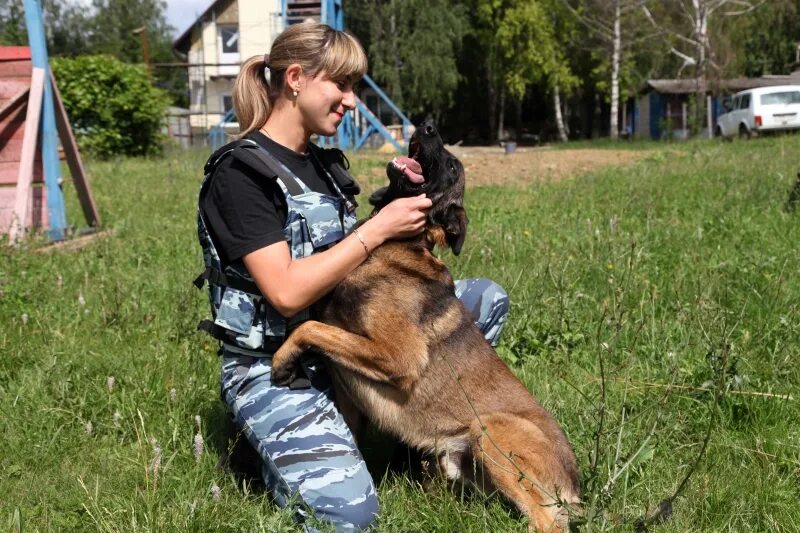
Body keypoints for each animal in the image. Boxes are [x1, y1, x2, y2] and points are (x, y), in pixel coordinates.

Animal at [272, 121, 580, 532]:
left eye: (451, 167)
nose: (428, 126)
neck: (397, 241)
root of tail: (576, 486)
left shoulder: (398, 357)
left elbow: (310, 329)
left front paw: (282, 359)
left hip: (489, 431)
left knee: (547, 522)